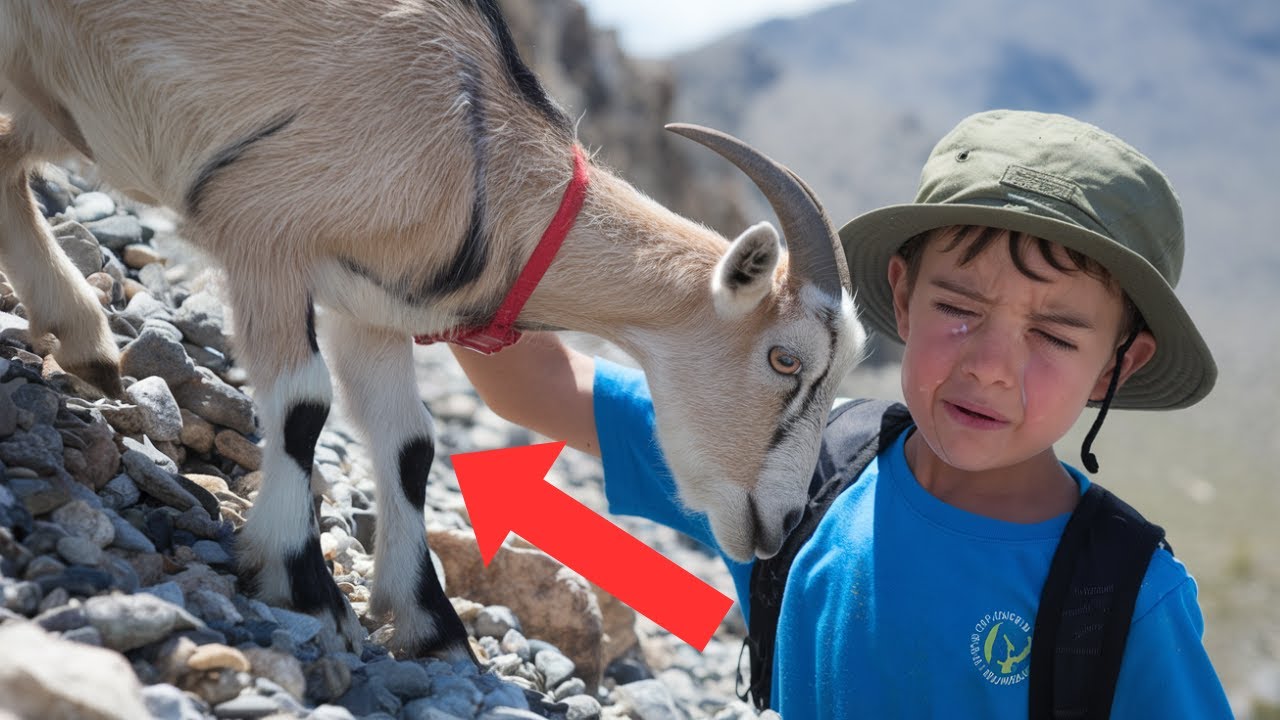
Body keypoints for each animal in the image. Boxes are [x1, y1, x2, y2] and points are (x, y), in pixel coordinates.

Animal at [0, 0, 865, 661]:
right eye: (786, 359)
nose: (782, 524)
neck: (469, 144)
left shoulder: (367, 304)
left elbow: (410, 444)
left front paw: (430, 621)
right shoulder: (264, 234)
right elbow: (304, 405)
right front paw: (303, 583)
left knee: (8, 158)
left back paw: (82, 338)